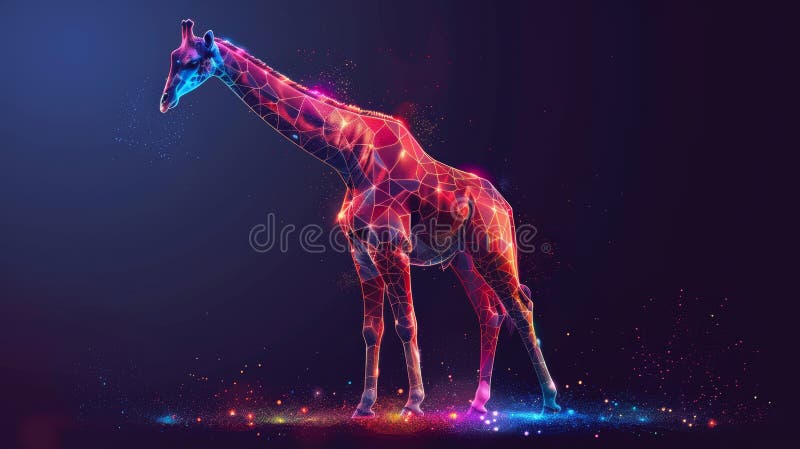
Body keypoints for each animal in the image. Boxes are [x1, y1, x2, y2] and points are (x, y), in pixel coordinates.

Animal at [160, 19, 560, 417]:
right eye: (172, 57)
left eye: (193, 61)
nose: (165, 100)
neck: (348, 155)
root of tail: (506, 206)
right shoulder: (362, 253)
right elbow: (372, 329)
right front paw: (364, 405)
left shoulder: (391, 247)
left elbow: (406, 324)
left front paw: (413, 404)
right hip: (463, 258)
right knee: (490, 313)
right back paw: (477, 403)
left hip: (494, 249)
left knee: (520, 307)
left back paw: (549, 401)